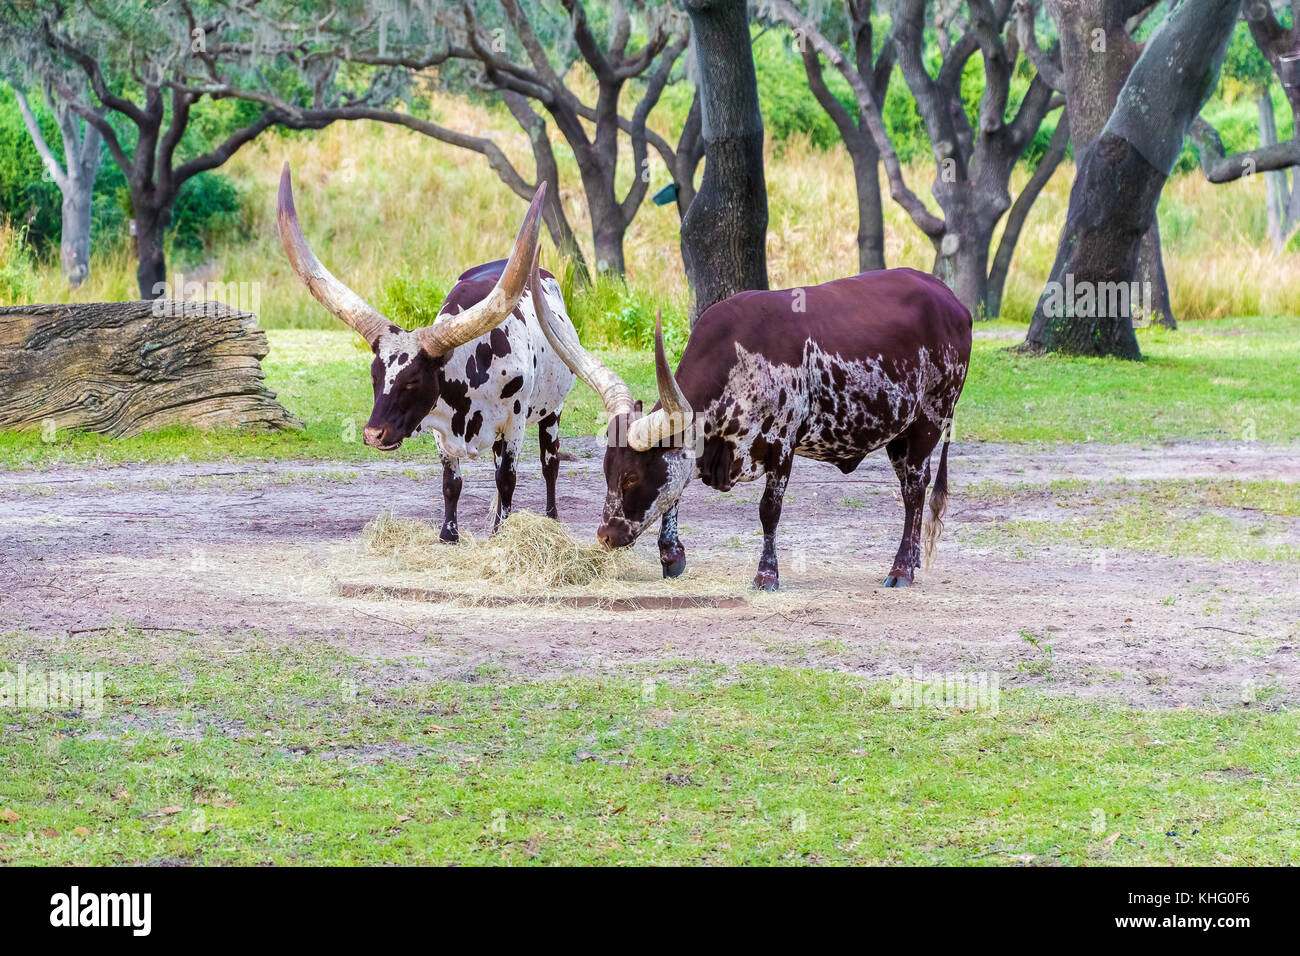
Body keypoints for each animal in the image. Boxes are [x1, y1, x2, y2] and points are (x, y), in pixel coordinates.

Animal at [277, 164, 576, 540]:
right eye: (374, 377)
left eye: (412, 381)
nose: (373, 434)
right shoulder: (440, 428)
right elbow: (451, 483)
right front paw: (449, 534)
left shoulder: (514, 422)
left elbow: (507, 478)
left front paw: (501, 533)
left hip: (552, 411)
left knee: (550, 463)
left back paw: (551, 517)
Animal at [529, 266, 972, 589]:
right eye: (608, 473)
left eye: (632, 478)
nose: (605, 535)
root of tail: (954, 302)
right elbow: (675, 491)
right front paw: (672, 556)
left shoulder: (782, 445)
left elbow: (768, 512)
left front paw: (766, 575)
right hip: (902, 434)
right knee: (915, 489)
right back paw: (912, 559)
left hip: (929, 421)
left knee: (914, 492)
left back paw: (901, 570)